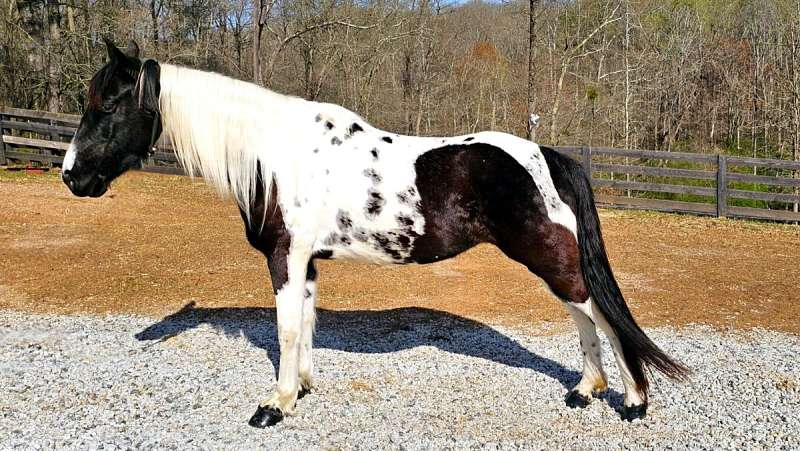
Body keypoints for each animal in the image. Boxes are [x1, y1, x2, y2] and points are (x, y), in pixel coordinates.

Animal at [62, 39, 688, 428]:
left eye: (109, 103)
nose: (72, 175)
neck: (278, 155)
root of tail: (548, 156)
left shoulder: (285, 257)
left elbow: (287, 328)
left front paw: (275, 405)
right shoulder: (308, 261)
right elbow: (306, 324)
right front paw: (301, 389)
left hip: (550, 255)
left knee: (600, 314)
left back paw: (632, 401)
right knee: (584, 315)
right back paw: (586, 391)